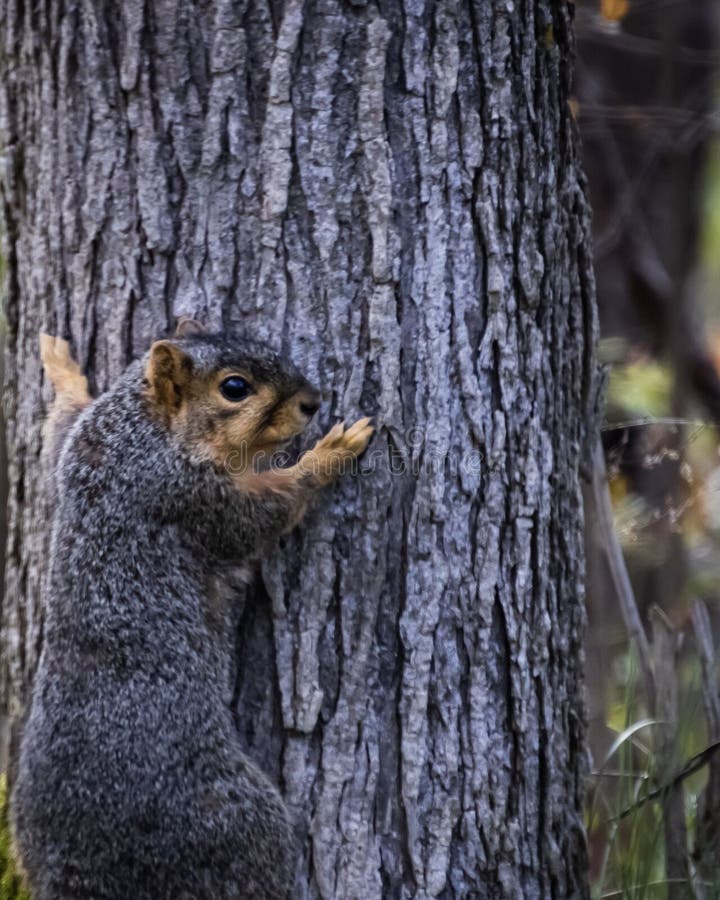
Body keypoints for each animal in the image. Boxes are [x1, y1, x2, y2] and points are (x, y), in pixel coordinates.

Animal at [11, 319, 373, 900]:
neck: (140, 431)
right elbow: (266, 513)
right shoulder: (192, 497)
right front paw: (331, 452)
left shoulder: (74, 450)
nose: (312, 402)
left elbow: (59, 425)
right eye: (234, 388)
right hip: (236, 824)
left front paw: (61, 365)